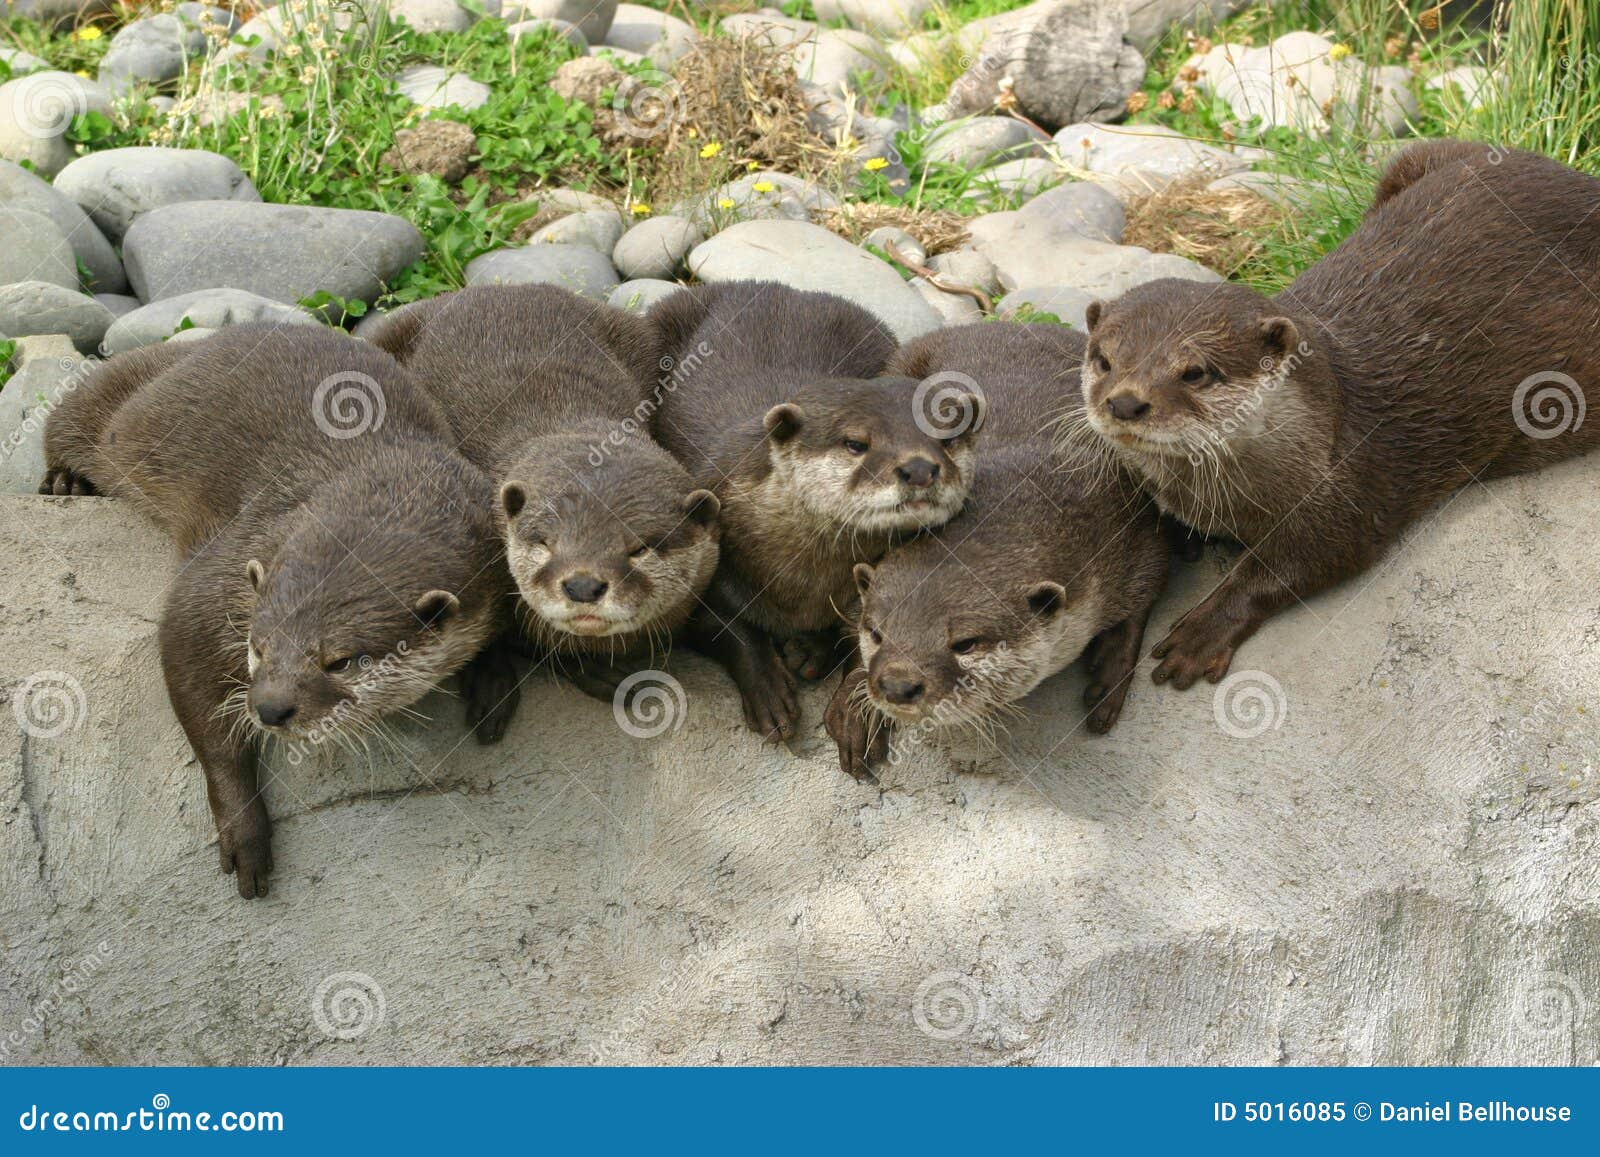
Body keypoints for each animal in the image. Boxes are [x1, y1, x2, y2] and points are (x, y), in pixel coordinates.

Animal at [40, 325, 513, 899]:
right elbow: (186, 654)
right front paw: (243, 829)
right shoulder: (229, 565)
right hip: (122, 395)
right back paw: (65, 481)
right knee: (69, 414)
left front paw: (493, 680)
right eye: (257, 646)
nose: (270, 707)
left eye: (340, 661)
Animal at [648, 282, 981, 741]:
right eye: (856, 443)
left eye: (947, 439)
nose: (919, 467)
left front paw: (855, 712)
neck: (803, 583)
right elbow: (724, 627)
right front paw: (768, 690)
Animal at [824, 323, 1167, 779]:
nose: (897, 683)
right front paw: (855, 709)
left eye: (965, 643)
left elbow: (1144, 597)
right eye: (876, 632)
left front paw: (1109, 673)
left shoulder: (1132, 528)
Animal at [1072, 140, 1600, 689]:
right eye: (1103, 359)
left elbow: (1300, 564)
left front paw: (1200, 633)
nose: (1124, 401)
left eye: (1195, 372)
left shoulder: (1351, 493)